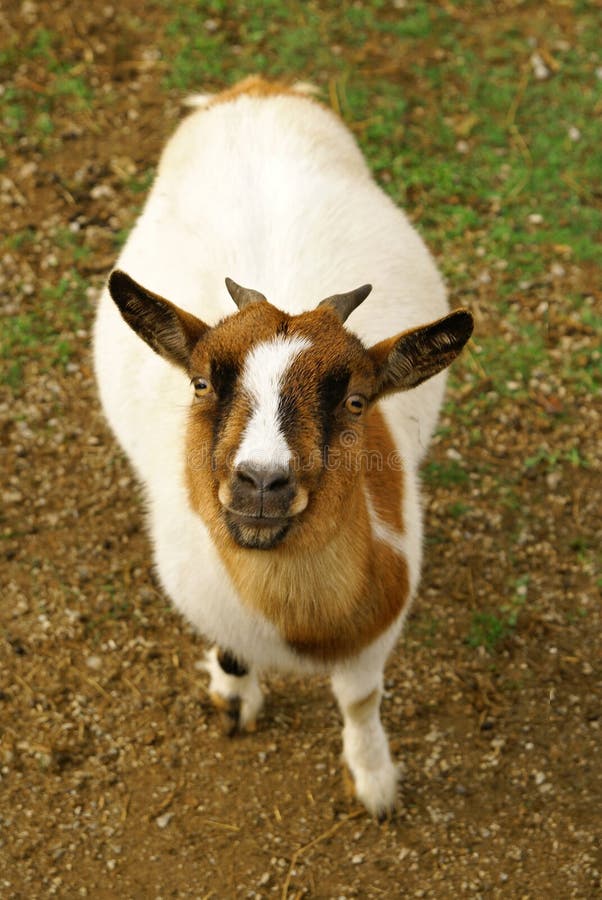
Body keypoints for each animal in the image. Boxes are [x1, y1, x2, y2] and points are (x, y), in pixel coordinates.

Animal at [93, 76, 473, 818]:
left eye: (356, 401)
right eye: (201, 381)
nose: (261, 483)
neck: (303, 625)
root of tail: (255, 88)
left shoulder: (377, 628)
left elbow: (361, 699)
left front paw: (374, 781)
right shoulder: (211, 604)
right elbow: (233, 653)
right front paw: (233, 701)